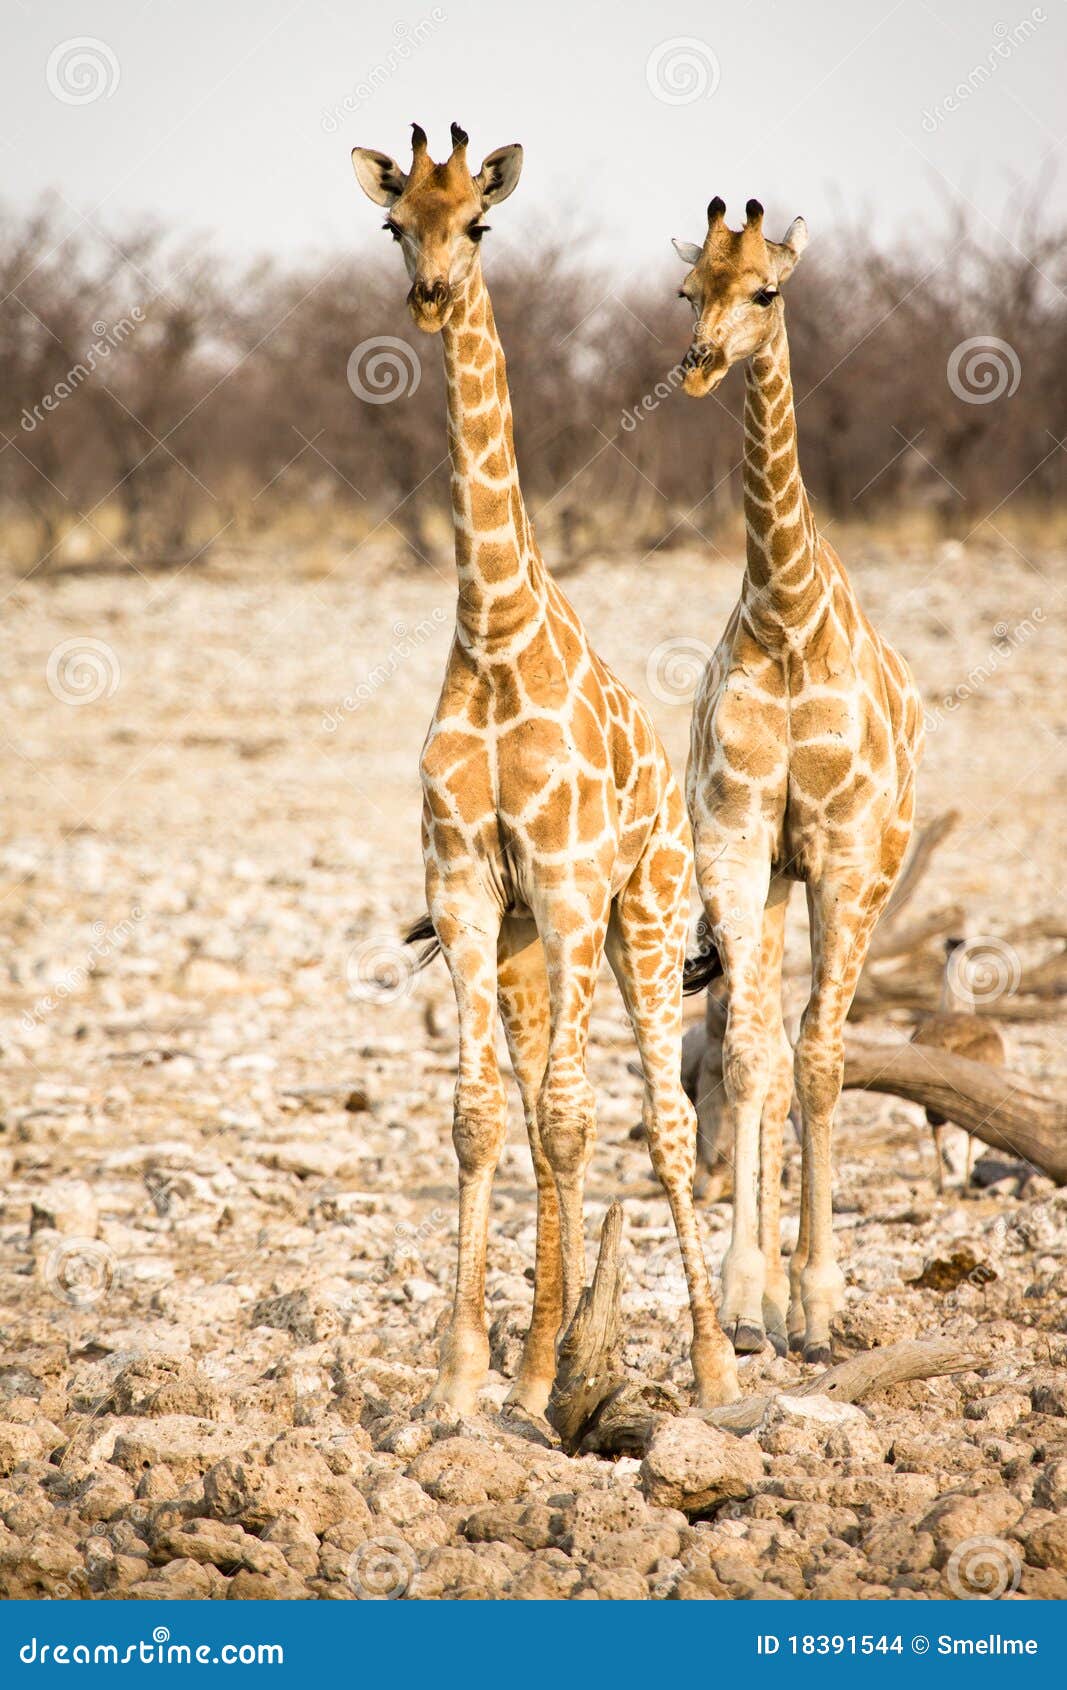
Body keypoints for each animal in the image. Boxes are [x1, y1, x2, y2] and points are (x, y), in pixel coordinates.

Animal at [351, 125, 739, 1415]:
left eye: (476, 223)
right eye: (394, 224)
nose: (428, 295)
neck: (490, 632)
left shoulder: (571, 889)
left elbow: (578, 1120)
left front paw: (524, 1379)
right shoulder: (469, 890)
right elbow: (479, 1118)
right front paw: (468, 1378)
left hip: (642, 916)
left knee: (655, 1119)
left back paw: (708, 1364)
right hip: (530, 945)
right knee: (534, 1109)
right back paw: (553, 1353)